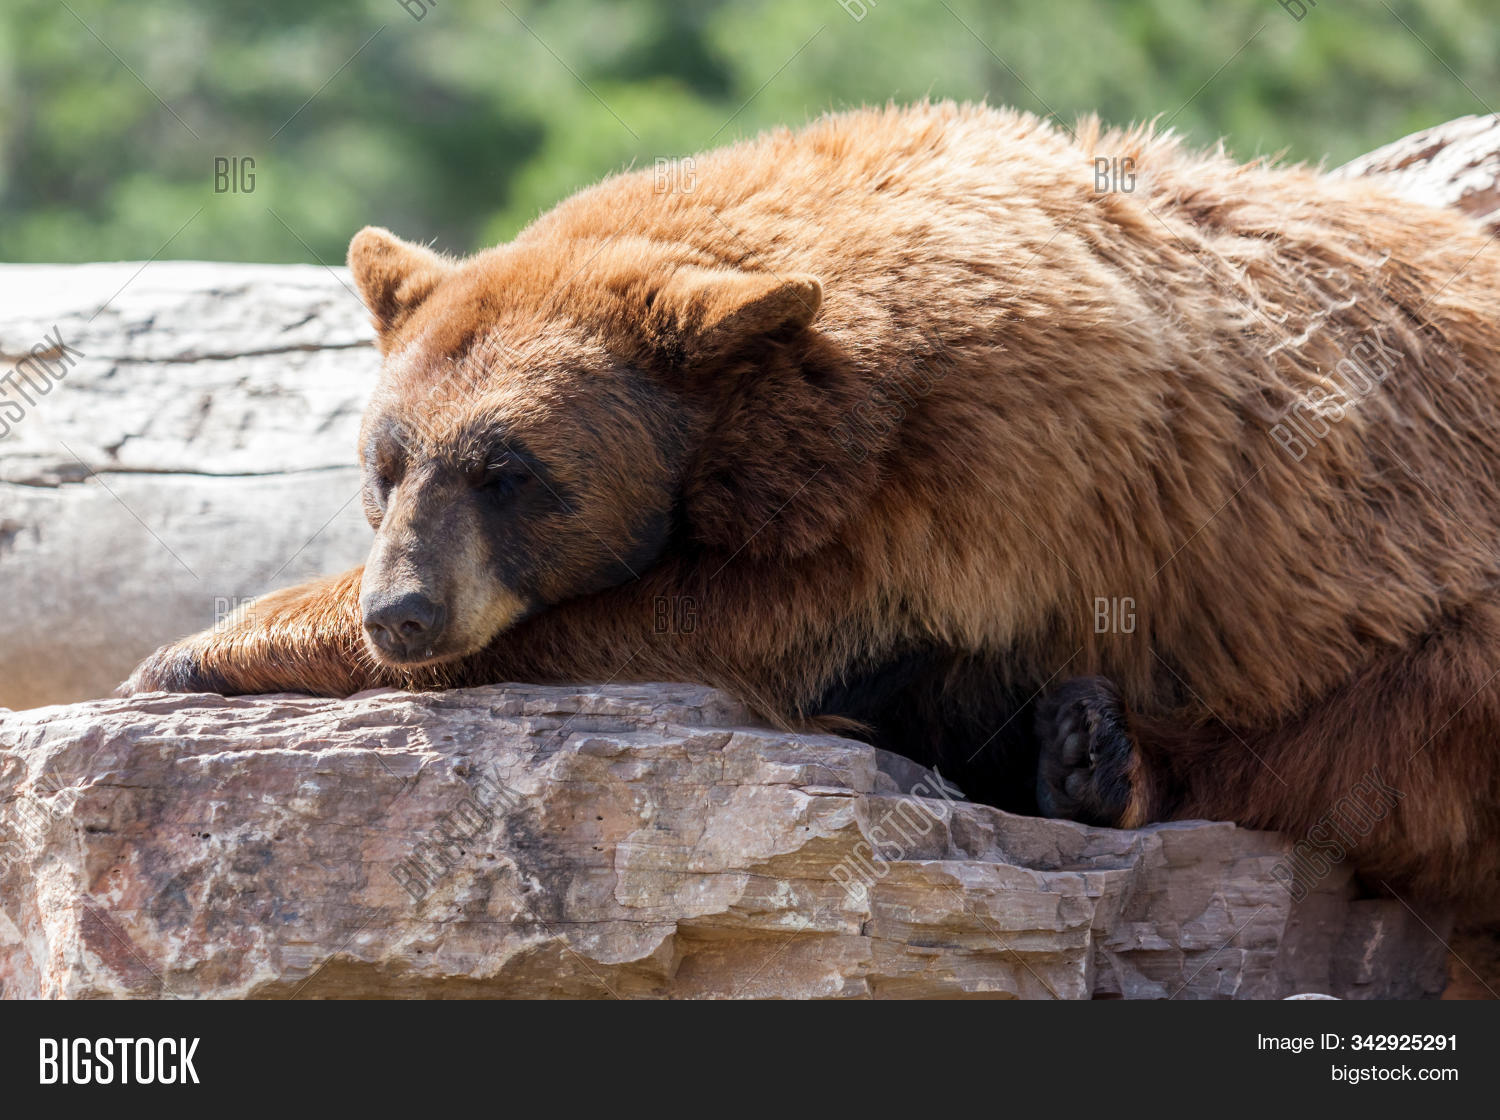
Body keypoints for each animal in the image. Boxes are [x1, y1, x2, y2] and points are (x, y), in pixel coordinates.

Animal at [124, 101, 1500, 915]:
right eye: (385, 461)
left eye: (511, 472)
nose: (401, 613)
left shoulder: (980, 478)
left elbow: (705, 620)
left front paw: (198, 646)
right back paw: (1077, 753)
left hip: (1431, 644)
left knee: (1360, 764)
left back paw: (1102, 764)